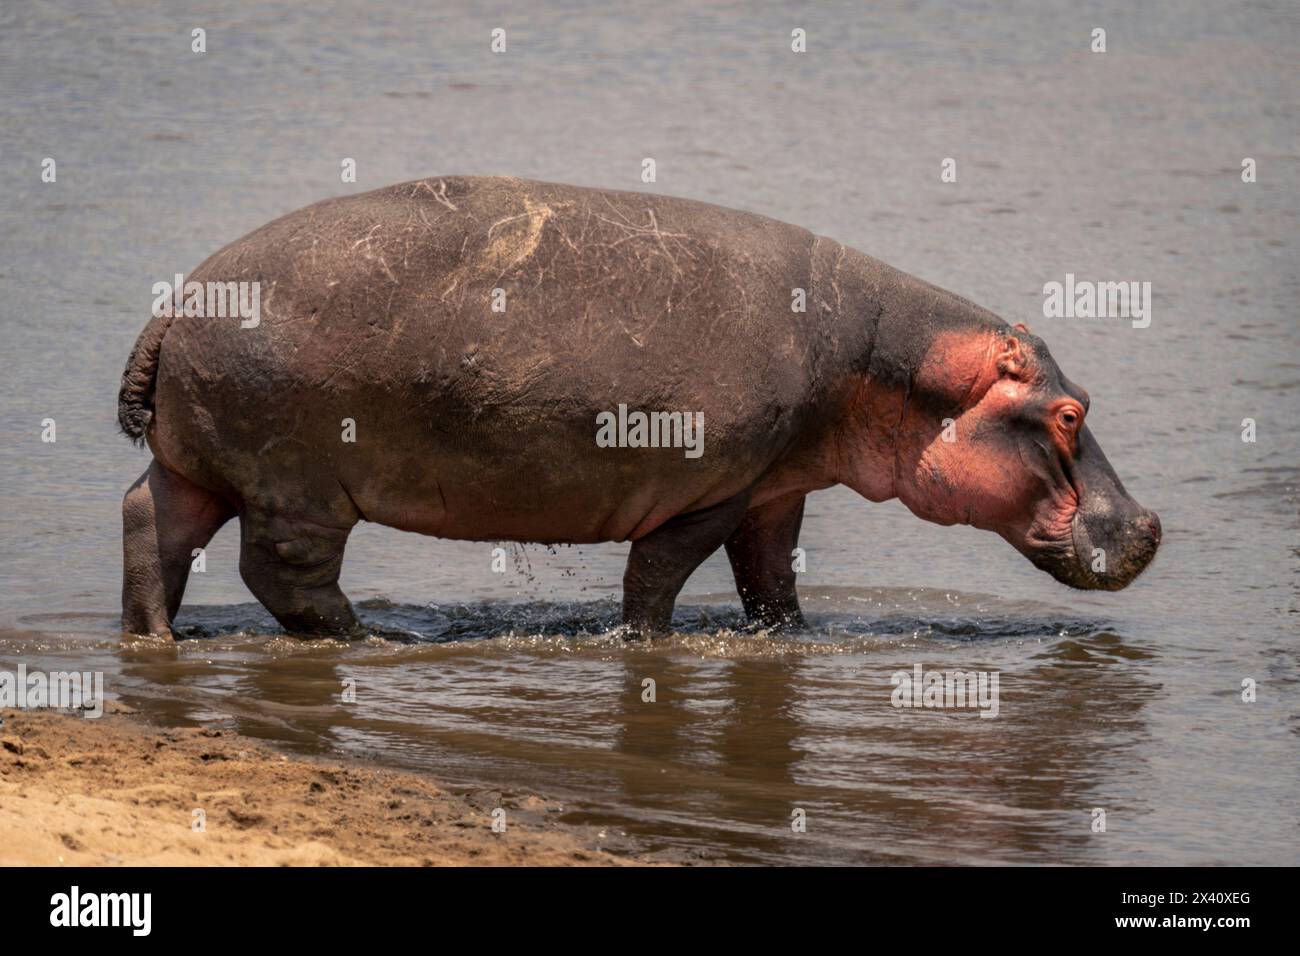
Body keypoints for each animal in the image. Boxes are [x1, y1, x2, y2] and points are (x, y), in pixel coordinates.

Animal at [118, 176, 1160, 639]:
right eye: (1070, 415)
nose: (1151, 525)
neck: (891, 364)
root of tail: (172, 308)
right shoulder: (712, 489)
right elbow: (657, 578)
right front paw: (649, 646)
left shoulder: (777, 486)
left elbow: (771, 581)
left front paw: (789, 641)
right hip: (297, 483)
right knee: (279, 570)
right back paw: (369, 637)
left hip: (200, 465)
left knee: (149, 525)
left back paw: (160, 637)